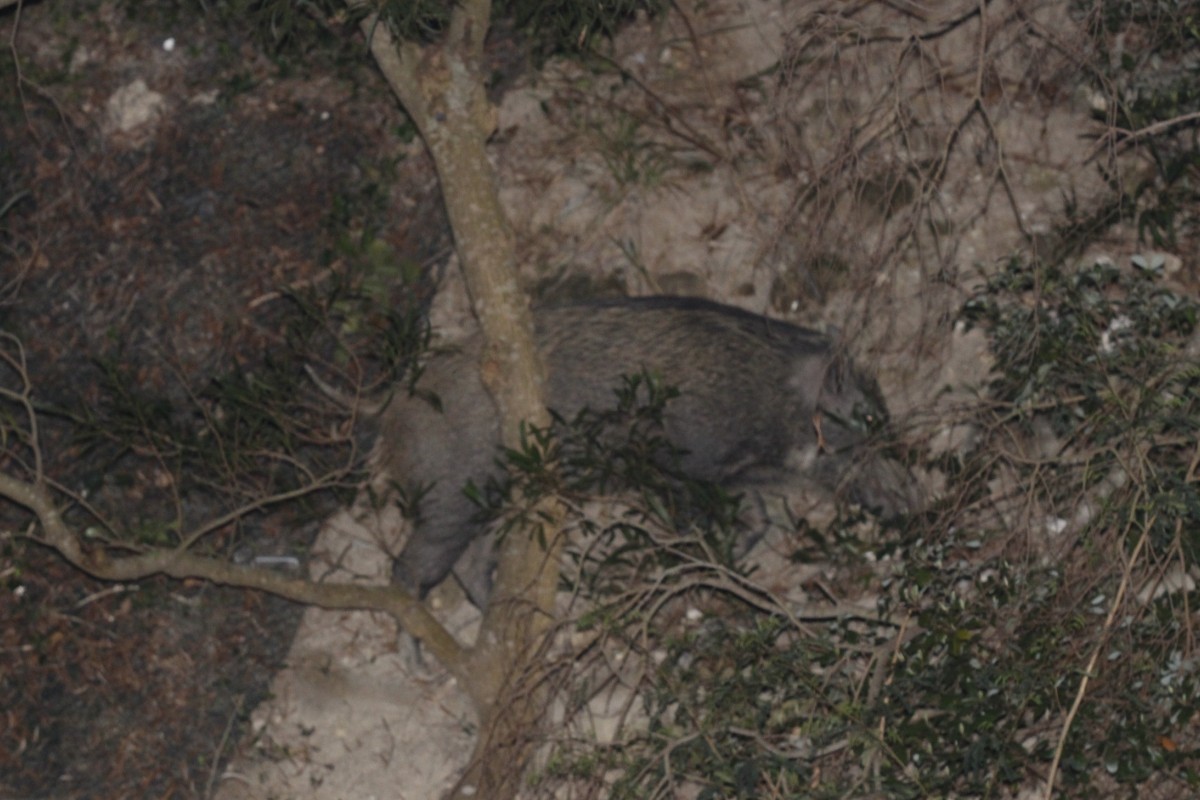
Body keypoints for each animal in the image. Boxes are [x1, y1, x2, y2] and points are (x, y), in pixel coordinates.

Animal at [379, 296, 914, 609]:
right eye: (868, 420)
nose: (912, 504)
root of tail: (395, 414)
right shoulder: (683, 464)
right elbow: (699, 526)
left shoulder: (735, 476)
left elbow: (759, 520)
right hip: (453, 493)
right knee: (409, 568)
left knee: (468, 565)